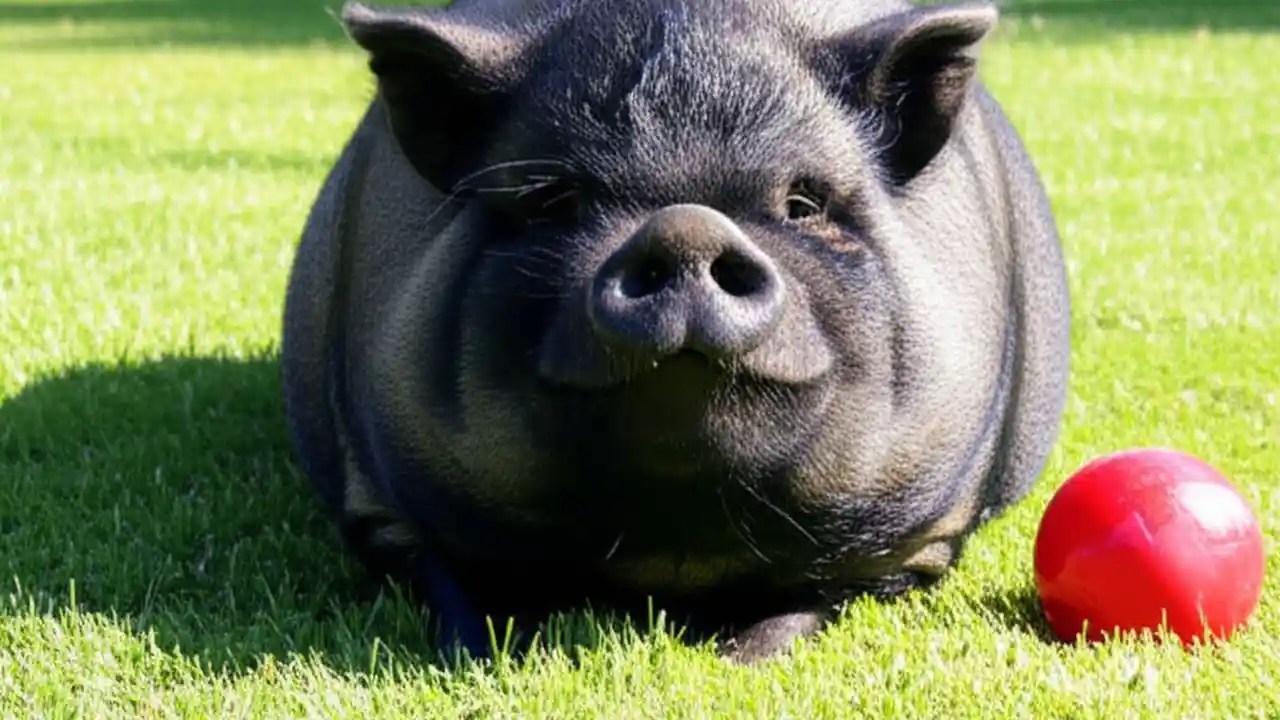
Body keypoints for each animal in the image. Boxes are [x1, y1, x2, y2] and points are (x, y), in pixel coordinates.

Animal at [281, 0, 1071, 663]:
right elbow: (449, 583)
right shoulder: (381, 503)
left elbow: (822, 597)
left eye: (803, 202)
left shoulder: (925, 536)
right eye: (551, 200)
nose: (686, 227)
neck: (675, 550)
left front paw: (737, 658)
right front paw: (496, 653)